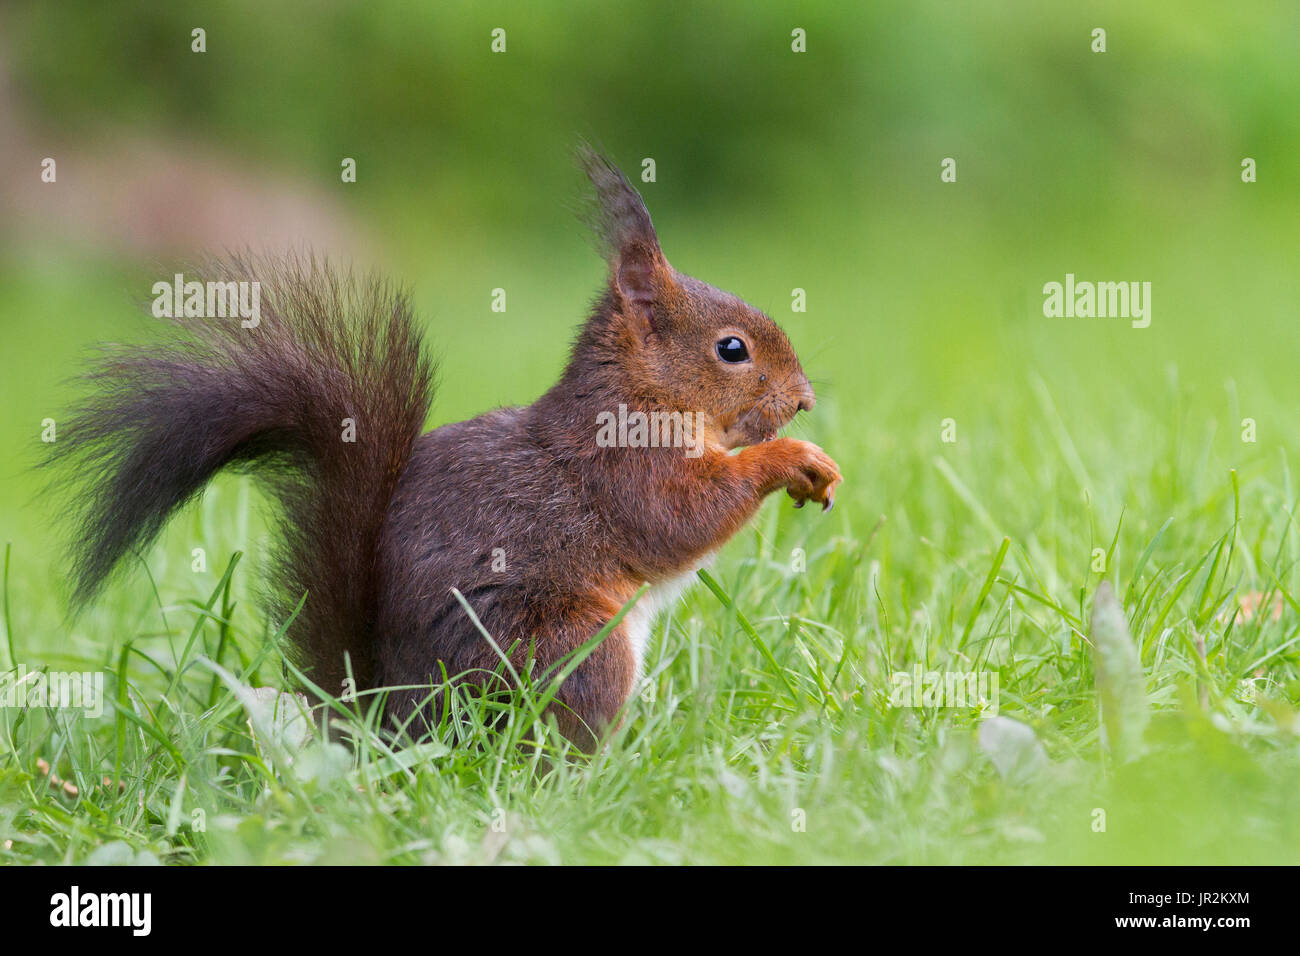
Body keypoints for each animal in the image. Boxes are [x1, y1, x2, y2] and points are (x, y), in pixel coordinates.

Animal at [50, 147, 842, 747]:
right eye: (732, 349)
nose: (805, 398)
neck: (643, 396)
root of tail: (390, 722)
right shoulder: (622, 467)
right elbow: (681, 518)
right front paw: (793, 461)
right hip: (570, 646)